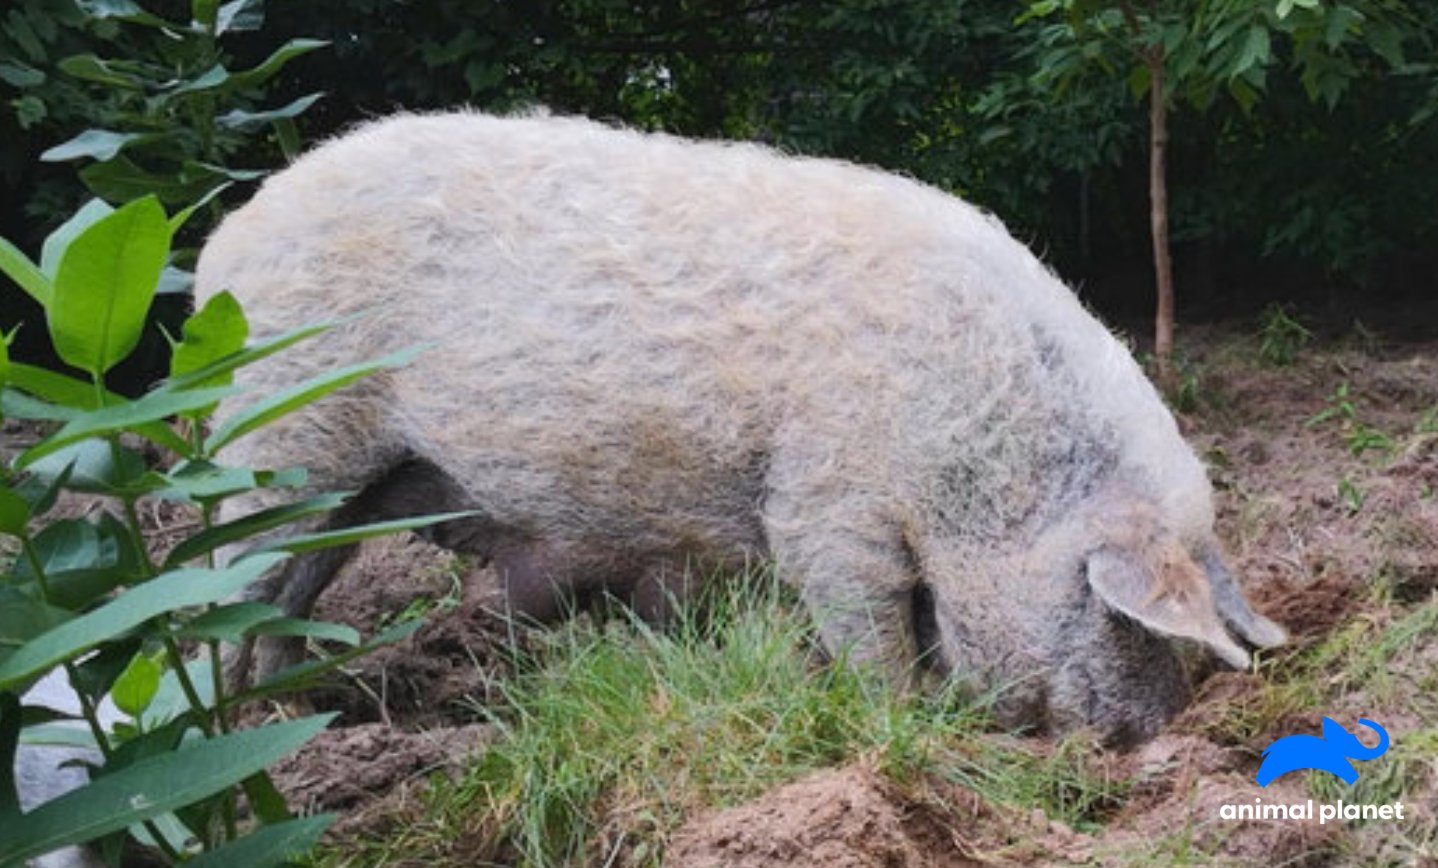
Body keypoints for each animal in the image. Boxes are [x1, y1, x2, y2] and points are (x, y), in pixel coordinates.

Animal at [194, 110, 1285, 745]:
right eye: (1119, 615)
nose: (1151, 735)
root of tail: (221, 245)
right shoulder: (824, 499)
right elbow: (866, 625)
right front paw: (905, 728)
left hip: (358, 482)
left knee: (295, 590)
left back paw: (315, 717)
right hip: (279, 439)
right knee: (227, 586)